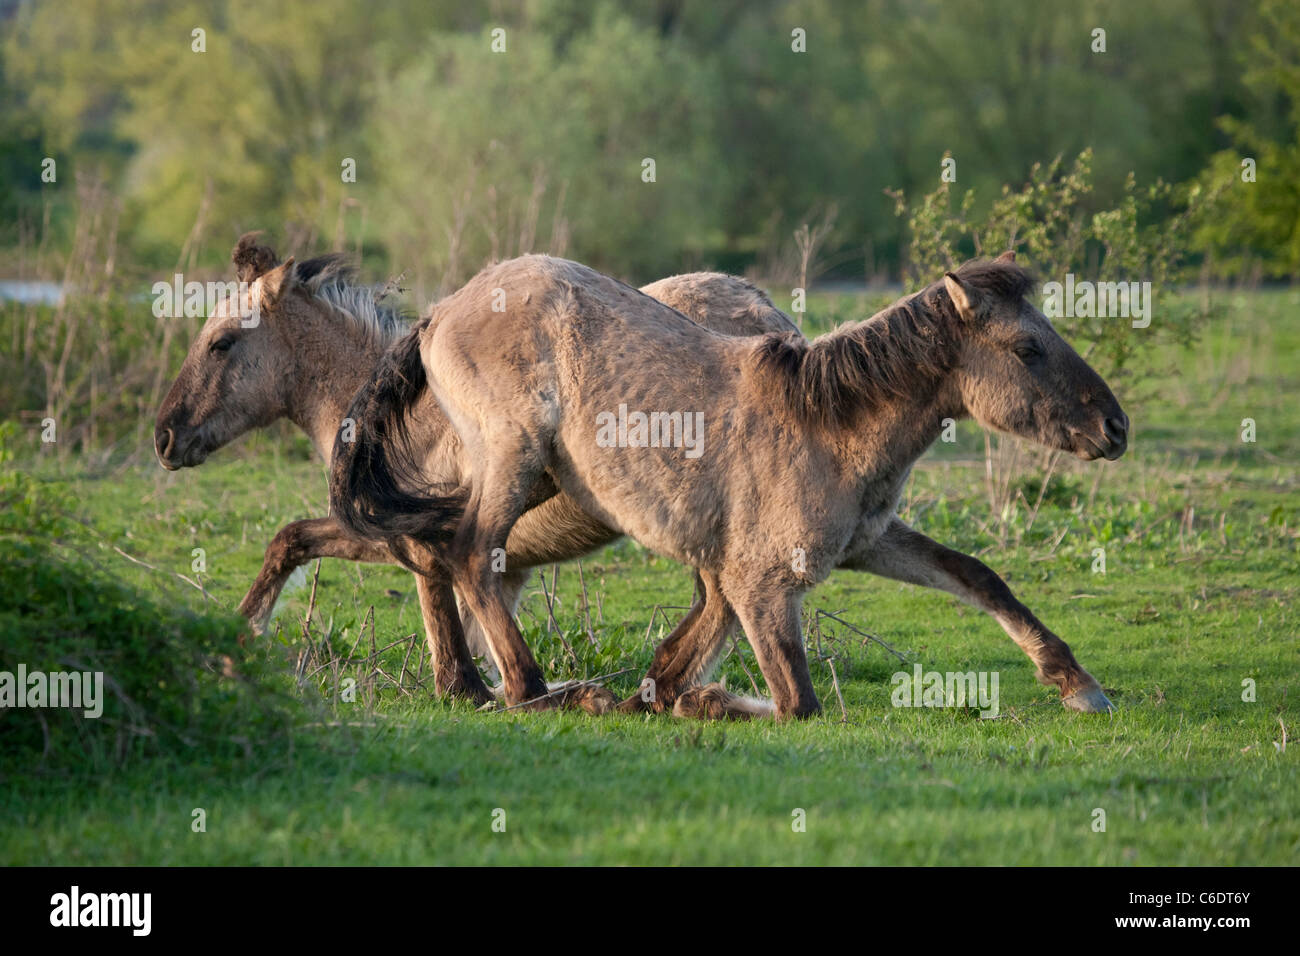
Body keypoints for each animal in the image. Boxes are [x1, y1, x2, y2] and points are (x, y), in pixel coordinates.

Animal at [154, 235, 799, 712]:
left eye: (221, 343)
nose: (164, 437)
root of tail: (773, 320)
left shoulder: (408, 538)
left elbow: (446, 640)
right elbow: (297, 541)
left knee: (720, 597)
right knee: (719, 600)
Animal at [331, 252, 1126, 719]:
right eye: (1028, 348)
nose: (1115, 427)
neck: (824, 425)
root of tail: (440, 311)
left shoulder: (863, 544)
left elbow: (977, 576)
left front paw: (1075, 683)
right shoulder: (763, 585)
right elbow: (795, 701)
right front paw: (699, 699)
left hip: (530, 479)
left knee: (440, 549)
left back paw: (471, 685)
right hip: (513, 461)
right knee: (471, 554)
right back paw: (535, 691)